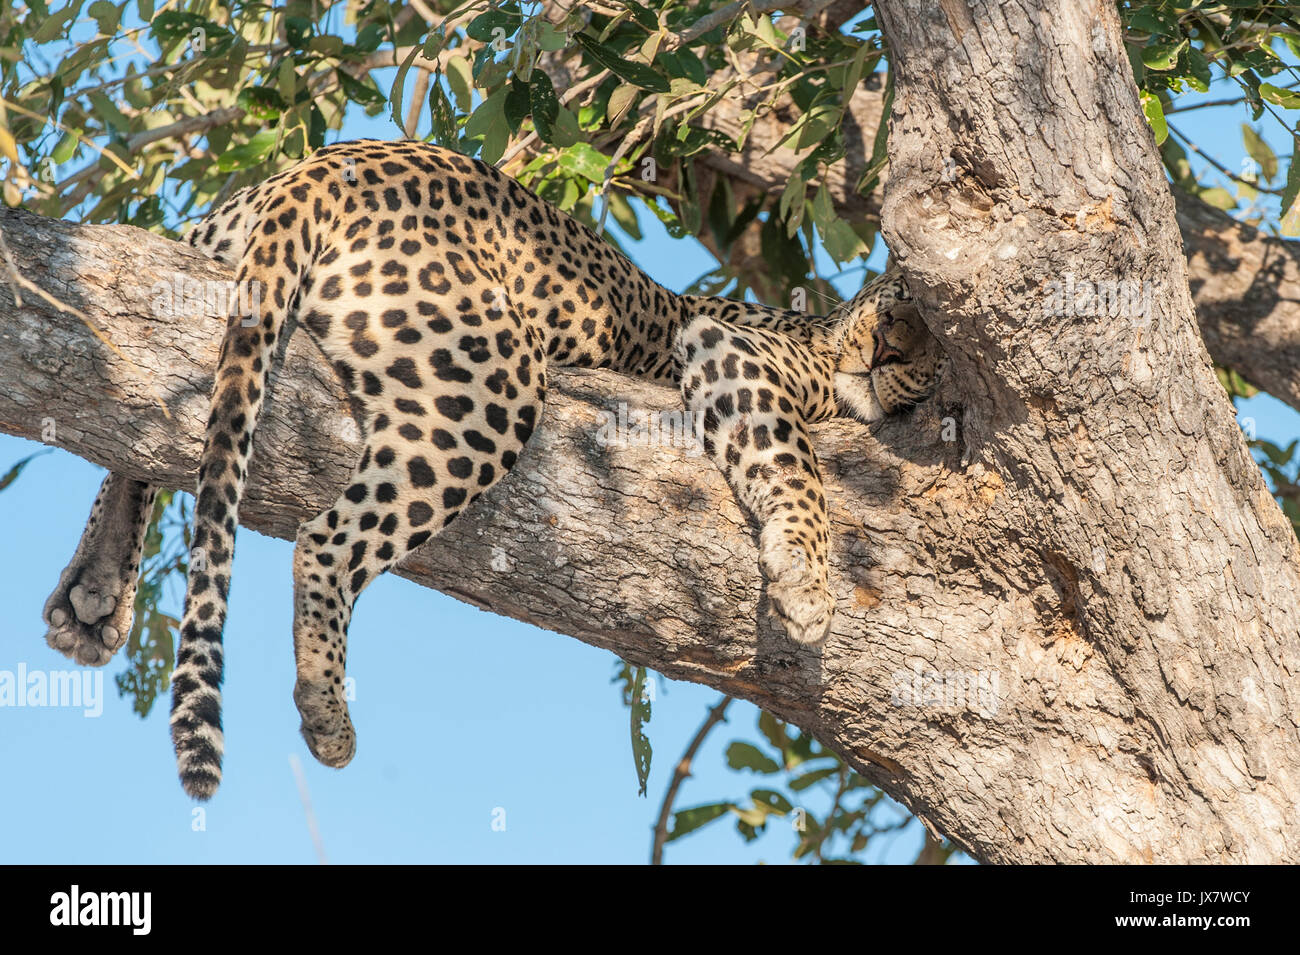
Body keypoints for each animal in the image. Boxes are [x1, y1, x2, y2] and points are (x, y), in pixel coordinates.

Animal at [40, 139, 944, 800]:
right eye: (902, 295)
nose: (891, 345)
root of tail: (323, 166)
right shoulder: (727, 349)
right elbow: (793, 458)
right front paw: (807, 582)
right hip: (489, 383)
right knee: (321, 538)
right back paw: (327, 711)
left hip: (200, 277)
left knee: (144, 439)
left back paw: (92, 591)